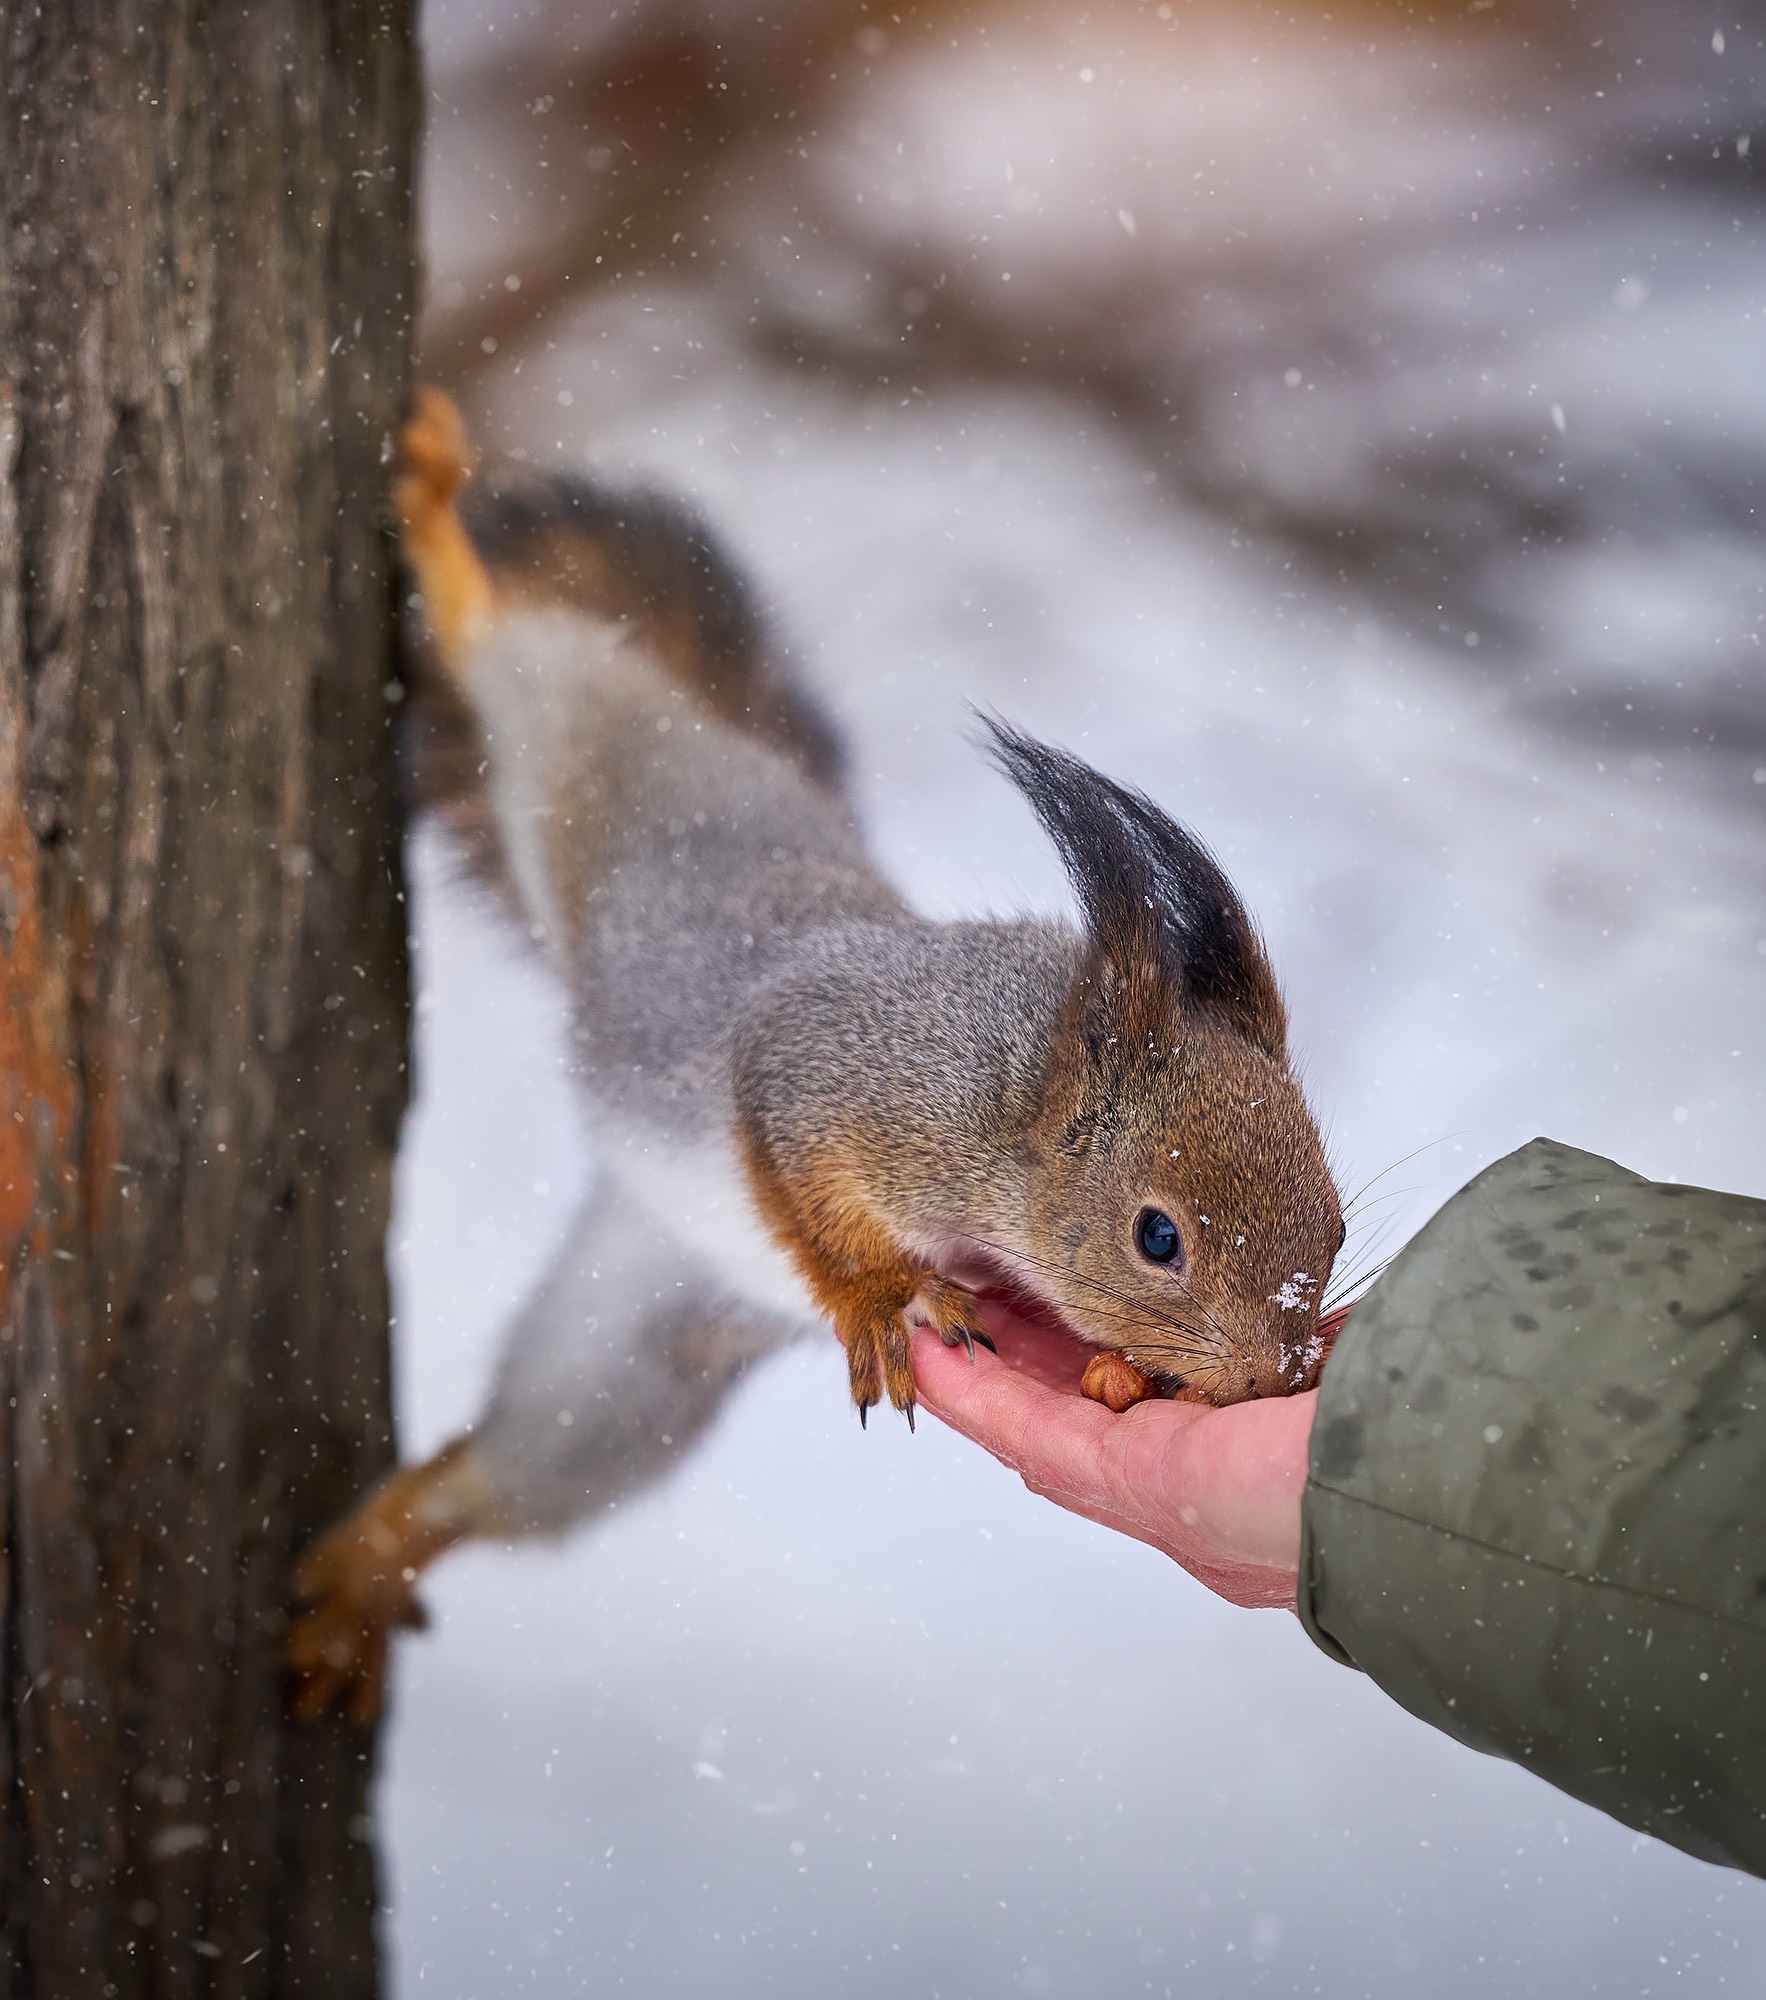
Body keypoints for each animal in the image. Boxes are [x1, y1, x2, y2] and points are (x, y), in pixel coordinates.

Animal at [286, 386, 1336, 1720]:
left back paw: (386, 1556)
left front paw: (1121, 1371)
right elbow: (801, 1180)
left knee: (507, 1472)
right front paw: (883, 1296)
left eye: (1335, 1218)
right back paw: (439, 521)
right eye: (1159, 1236)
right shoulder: (826, 1071)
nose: (1278, 1372)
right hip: (628, 772)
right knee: (525, 664)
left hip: (636, 1354)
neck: (1007, 1099)